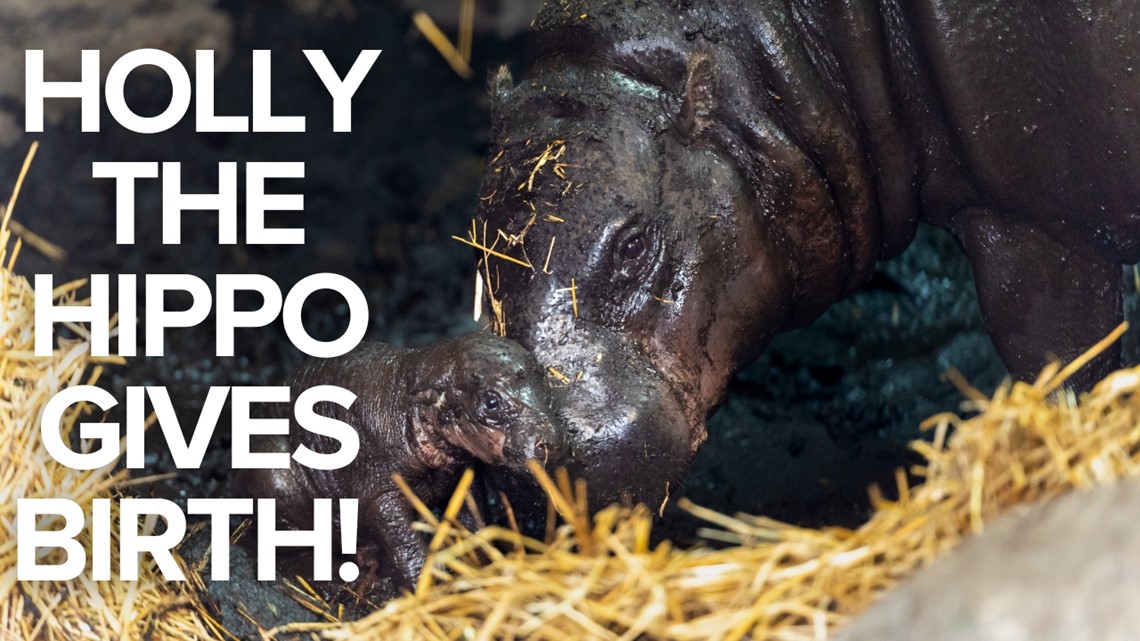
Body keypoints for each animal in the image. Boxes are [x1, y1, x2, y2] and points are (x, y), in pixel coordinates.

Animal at [236, 333, 564, 589]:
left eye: (545, 380)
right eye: (491, 400)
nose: (549, 440)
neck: (408, 402)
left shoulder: (465, 473)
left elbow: (472, 518)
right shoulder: (380, 491)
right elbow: (404, 541)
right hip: (274, 475)